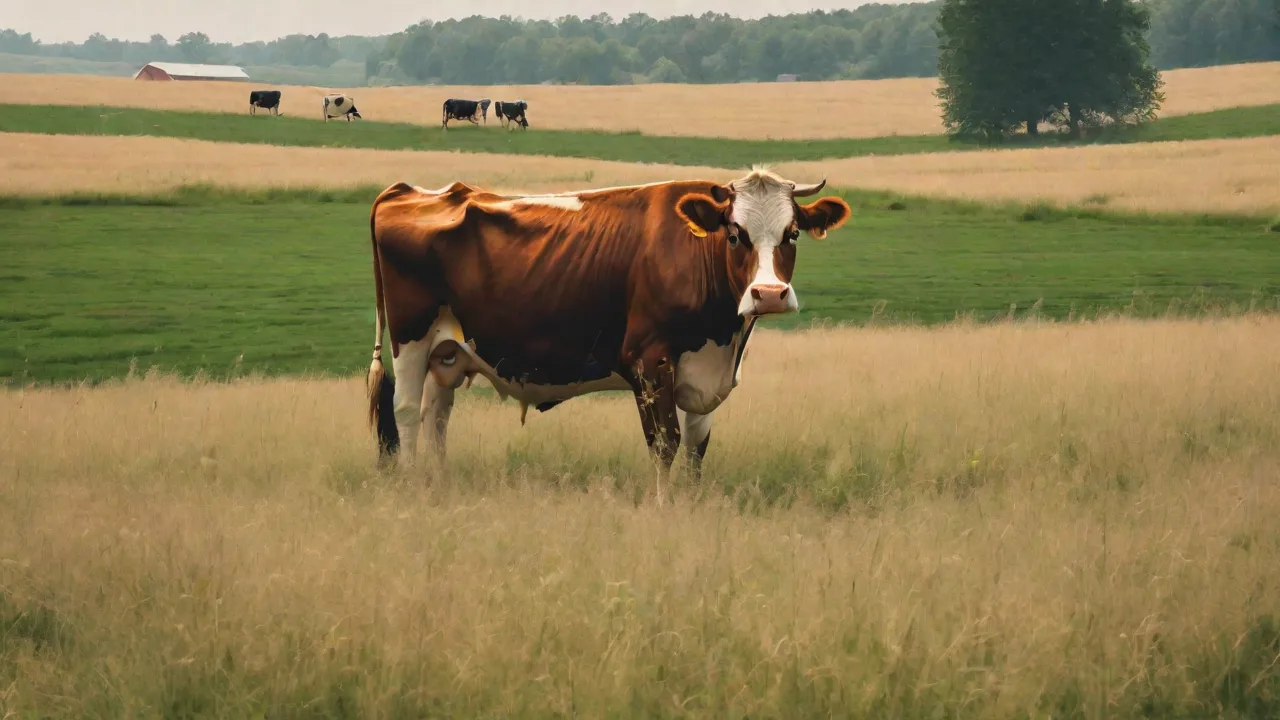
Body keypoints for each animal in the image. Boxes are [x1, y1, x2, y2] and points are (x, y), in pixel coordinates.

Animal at [363, 168, 851, 503]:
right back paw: (413, 486)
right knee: (406, 412)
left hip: (446, 351)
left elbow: (696, 446)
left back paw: (439, 484)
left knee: (437, 414)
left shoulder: (702, 370)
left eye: (792, 234)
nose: (768, 294)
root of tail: (407, 191)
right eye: (735, 234)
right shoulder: (649, 362)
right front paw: (663, 506)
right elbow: (665, 443)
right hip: (411, 339)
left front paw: (692, 501)